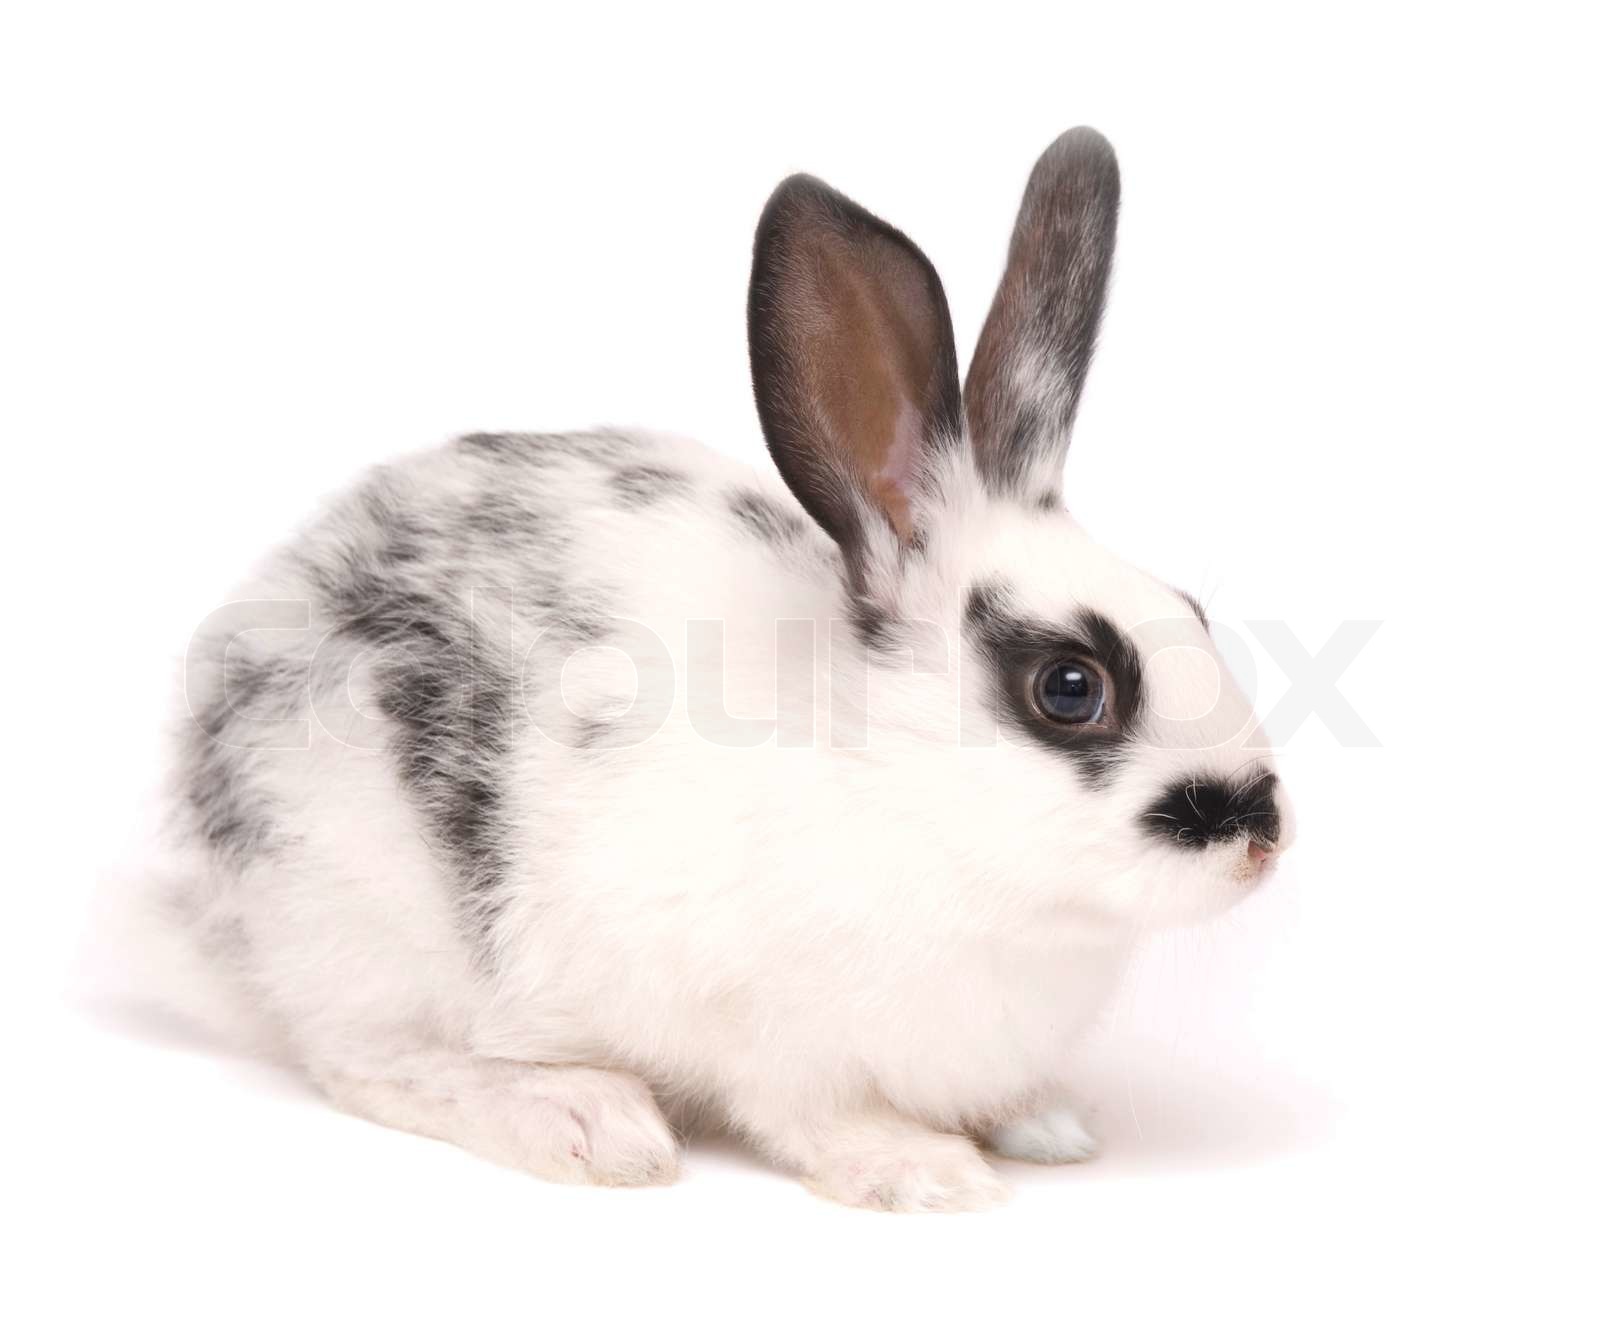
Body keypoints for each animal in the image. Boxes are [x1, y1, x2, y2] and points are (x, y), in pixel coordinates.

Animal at [147, 126, 1293, 1211]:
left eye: (1192, 612)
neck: (900, 789)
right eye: (1068, 686)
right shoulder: (769, 1033)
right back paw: (588, 1119)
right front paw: (923, 1174)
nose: (1260, 838)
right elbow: (813, 1113)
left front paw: (1047, 1126)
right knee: (368, 1059)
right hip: (366, 906)